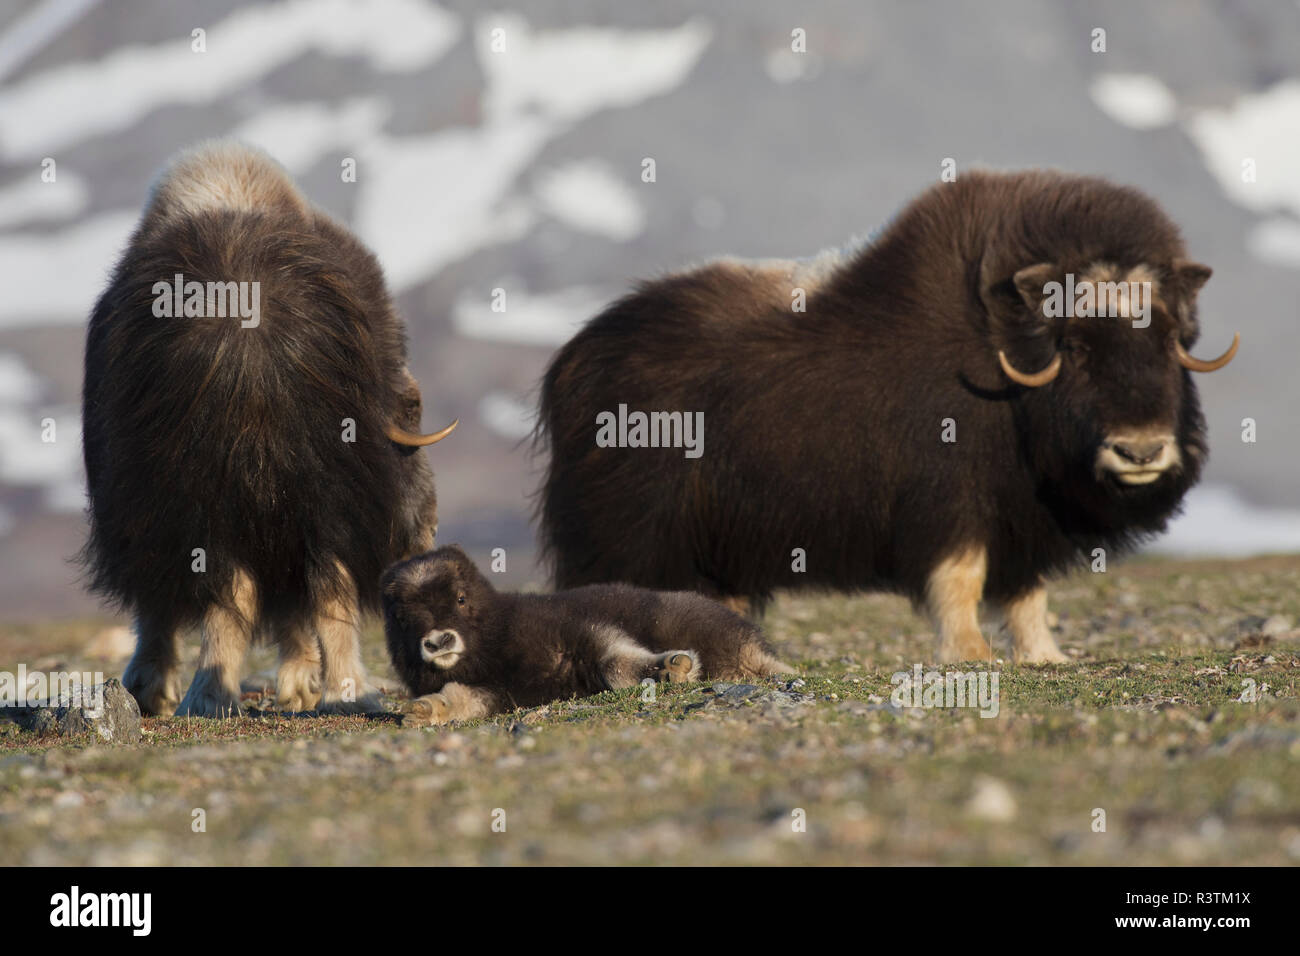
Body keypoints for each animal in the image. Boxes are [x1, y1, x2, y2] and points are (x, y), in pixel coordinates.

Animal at [80, 141, 458, 716]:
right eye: (413, 408)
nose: (429, 530)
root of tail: (247, 351)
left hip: (207, 499)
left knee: (230, 593)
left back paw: (208, 696)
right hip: (309, 495)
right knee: (320, 589)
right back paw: (344, 692)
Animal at [535, 169, 1238, 664]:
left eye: (1166, 339)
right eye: (1078, 348)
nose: (1142, 452)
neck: (1005, 358)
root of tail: (575, 357)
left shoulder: (1025, 514)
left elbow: (1026, 591)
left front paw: (1046, 656)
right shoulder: (951, 500)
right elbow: (961, 576)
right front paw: (973, 656)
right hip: (631, 532)